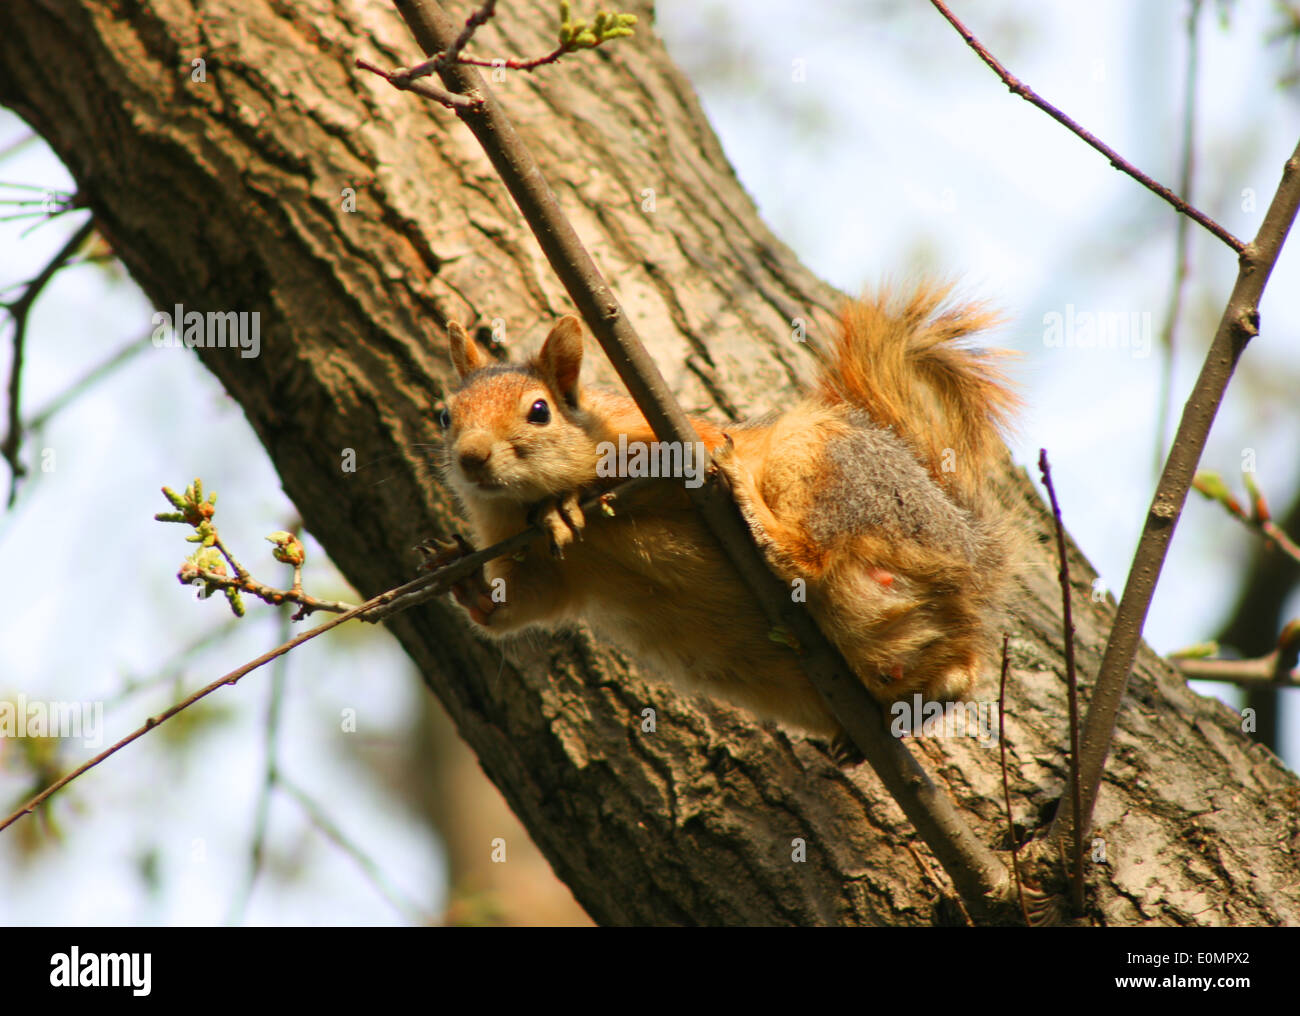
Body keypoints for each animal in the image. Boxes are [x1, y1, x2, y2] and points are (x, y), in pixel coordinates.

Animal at [437, 283, 1020, 746]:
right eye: (445, 414)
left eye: (540, 411)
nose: (471, 457)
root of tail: (967, 546)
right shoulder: (546, 570)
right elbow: (518, 605)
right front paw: (461, 578)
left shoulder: (673, 438)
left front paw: (564, 503)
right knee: (954, 676)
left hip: (824, 462)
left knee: (812, 556)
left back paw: (761, 517)